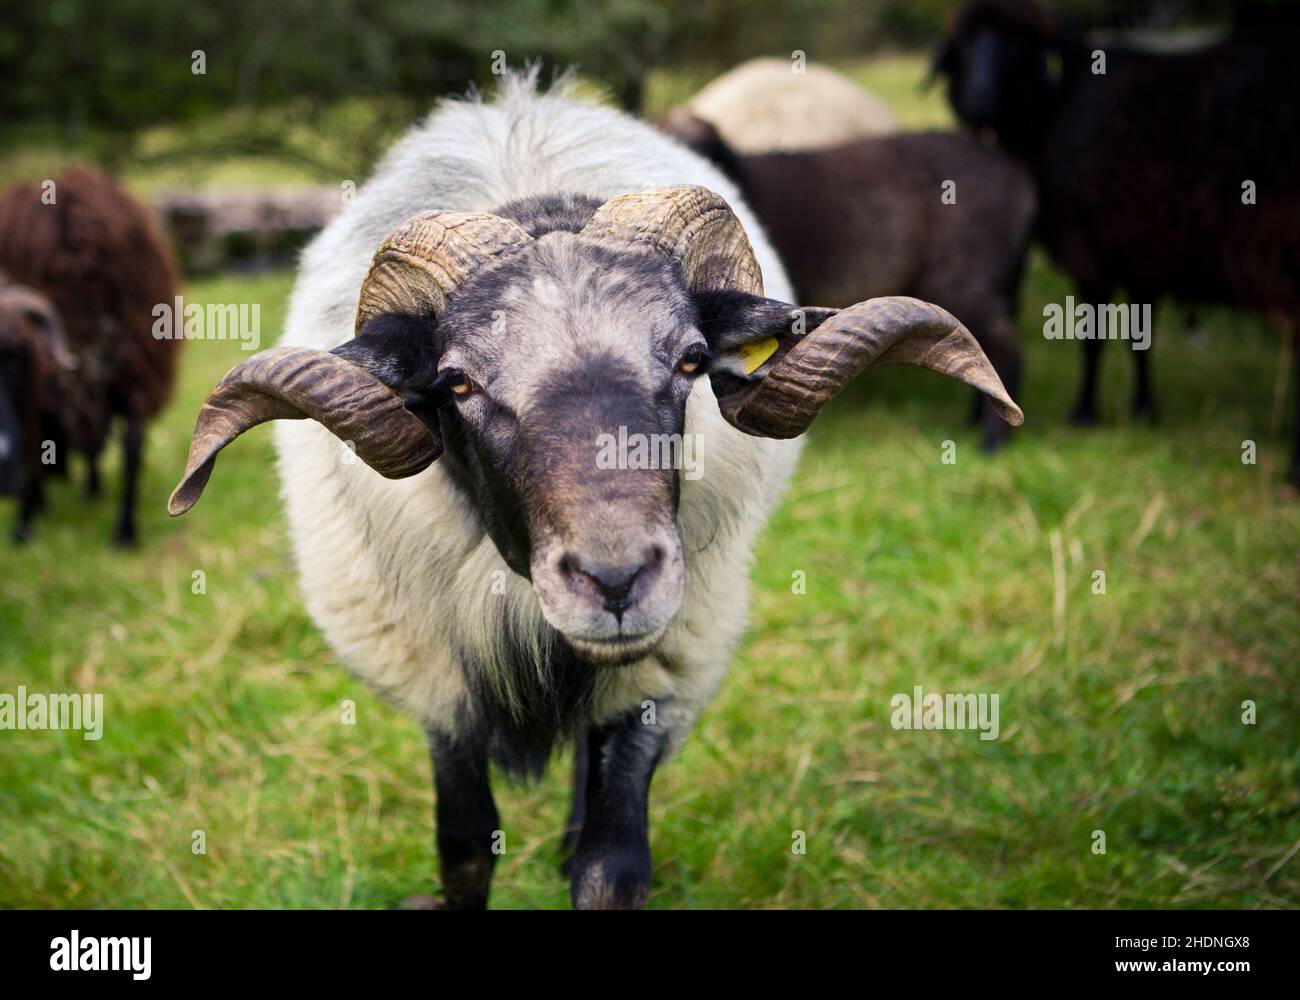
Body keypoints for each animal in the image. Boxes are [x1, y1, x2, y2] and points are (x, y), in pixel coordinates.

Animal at [933, 0, 1300, 485]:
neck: (1056, 110)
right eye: (965, 44)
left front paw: (1084, 413)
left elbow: (1094, 338)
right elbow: (1139, 340)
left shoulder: (1092, 249)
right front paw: (1145, 410)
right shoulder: (1142, 250)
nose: (979, 101)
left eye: (1018, 42)